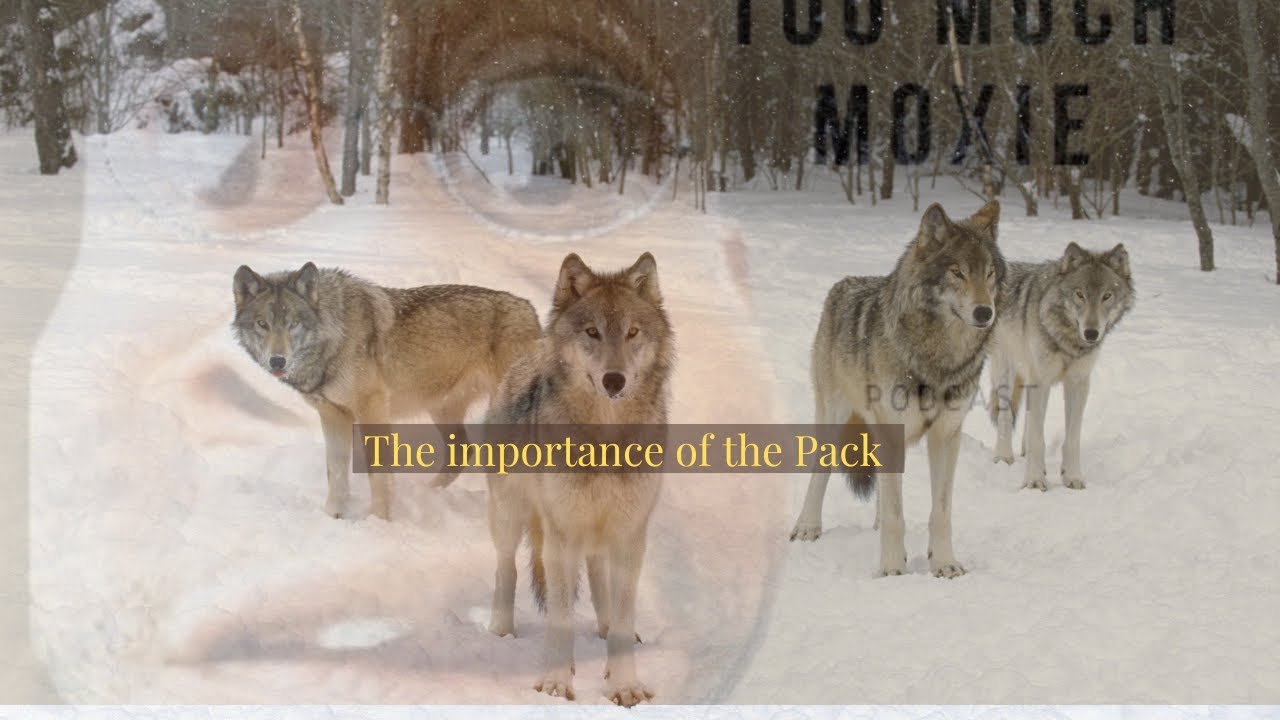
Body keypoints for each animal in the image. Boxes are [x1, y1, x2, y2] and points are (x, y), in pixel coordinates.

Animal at [231, 262, 542, 520]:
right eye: (262, 324)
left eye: (293, 324)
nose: (277, 361)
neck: (335, 339)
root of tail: (531, 311)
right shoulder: (333, 415)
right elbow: (336, 473)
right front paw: (333, 517)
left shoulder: (372, 409)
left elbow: (378, 474)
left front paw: (380, 522)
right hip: (442, 408)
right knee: (462, 450)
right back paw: (430, 492)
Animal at [485, 252, 673, 707]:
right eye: (592, 332)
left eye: (632, 332)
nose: (614, 380)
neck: (605, 440)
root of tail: (529, 351)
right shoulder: (561, 534)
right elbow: (561, 618)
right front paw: (556, 683)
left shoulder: (630, 534)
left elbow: (622, 618)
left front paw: (623, 685)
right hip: (509, 515)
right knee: (506, 568)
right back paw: (501, 631)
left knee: (598, 575)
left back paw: (603, 628)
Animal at [789, 201, 1004, 579]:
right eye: (957, 272)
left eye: (989, 273)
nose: (984, 312)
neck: (938, 359)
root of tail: (844, 284)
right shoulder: (891, 431)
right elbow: (895, 515)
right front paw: (891, 569)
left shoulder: (946, 435)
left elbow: (940, 512)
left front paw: (944, 563)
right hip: (833, 418)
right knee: (821, 474)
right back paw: (807, 527)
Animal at [988, 242, 1134, 491]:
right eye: (1079, 294)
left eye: (1107, 296)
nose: (1091, 333)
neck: (1068, 340)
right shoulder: (1041, 380)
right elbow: (1038, 437)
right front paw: (1034, 480)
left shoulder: (1078, 383)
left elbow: (1072, 438)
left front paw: (1072, 477)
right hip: (1005, 371)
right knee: (1006, 417)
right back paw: (1003, 457)